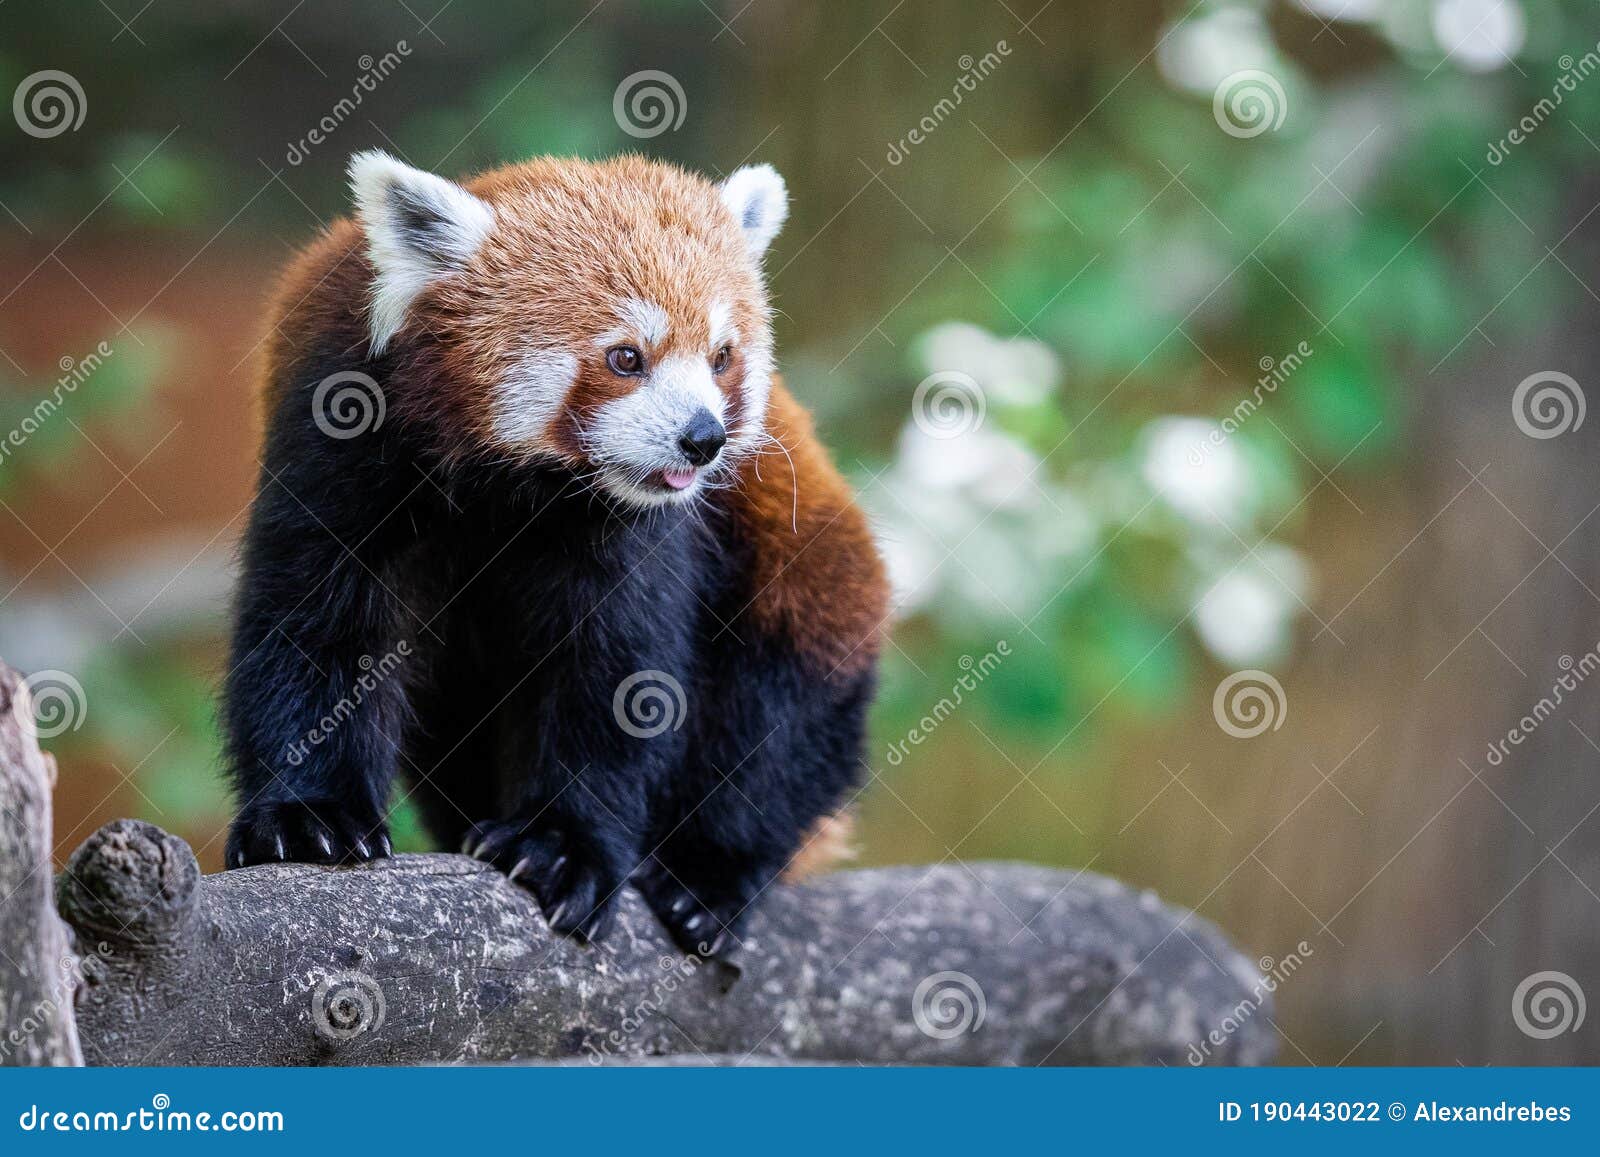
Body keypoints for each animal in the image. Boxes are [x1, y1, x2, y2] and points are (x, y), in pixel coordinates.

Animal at [221, 151, 889, 957]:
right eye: (626, 357)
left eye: (723, 357)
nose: (704, 438)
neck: (514, 488)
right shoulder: (336, 422)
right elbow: (314, 622)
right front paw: (308, 814)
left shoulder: (651, 533)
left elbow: (619, 671)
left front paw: (564, 846)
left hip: (805, 584)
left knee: (776, 734)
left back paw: (707, 877)